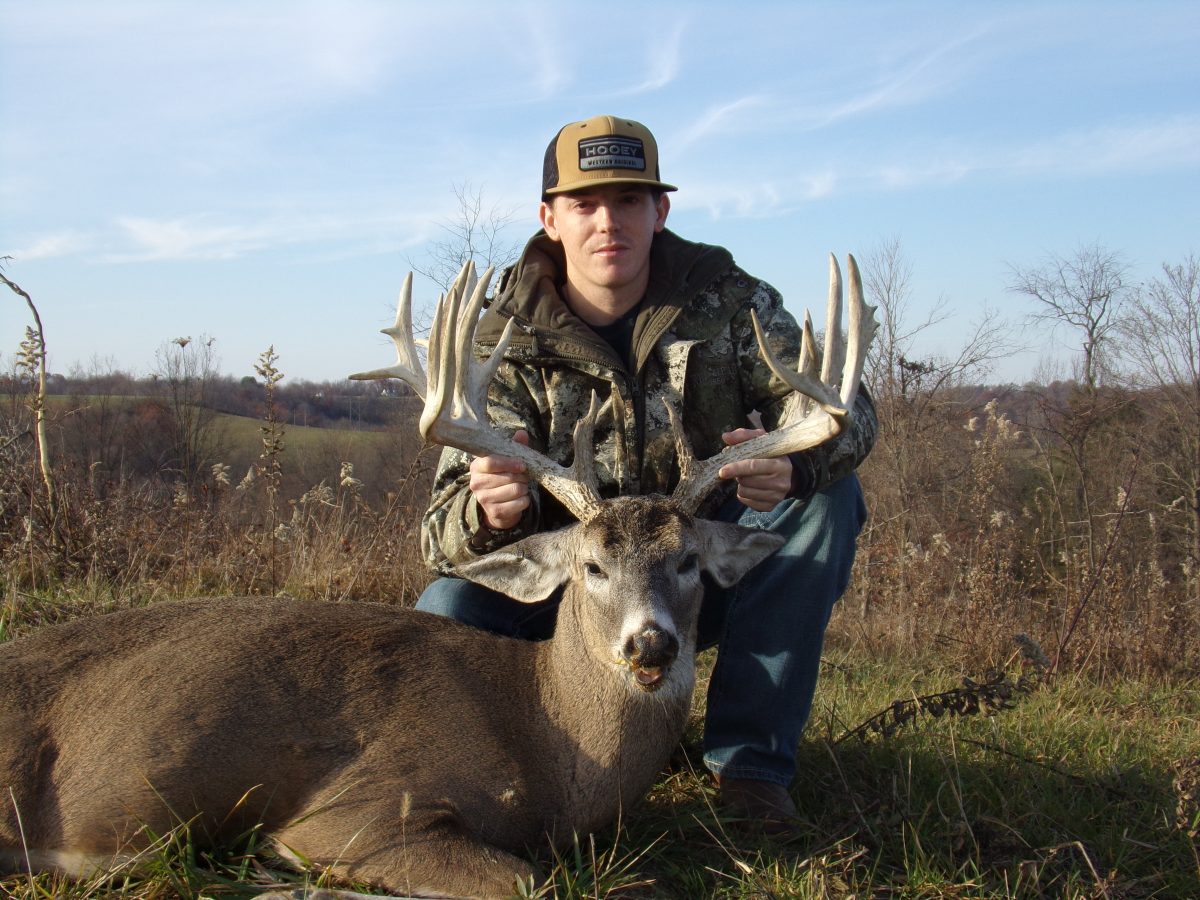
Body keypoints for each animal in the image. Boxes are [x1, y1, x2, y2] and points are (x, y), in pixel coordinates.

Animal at [0, 256, 875, 899]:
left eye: (689, 561)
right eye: (591, 565)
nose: (650, 645)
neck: (546, 742)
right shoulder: (359, 808)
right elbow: (525, 881)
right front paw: (280, 877)